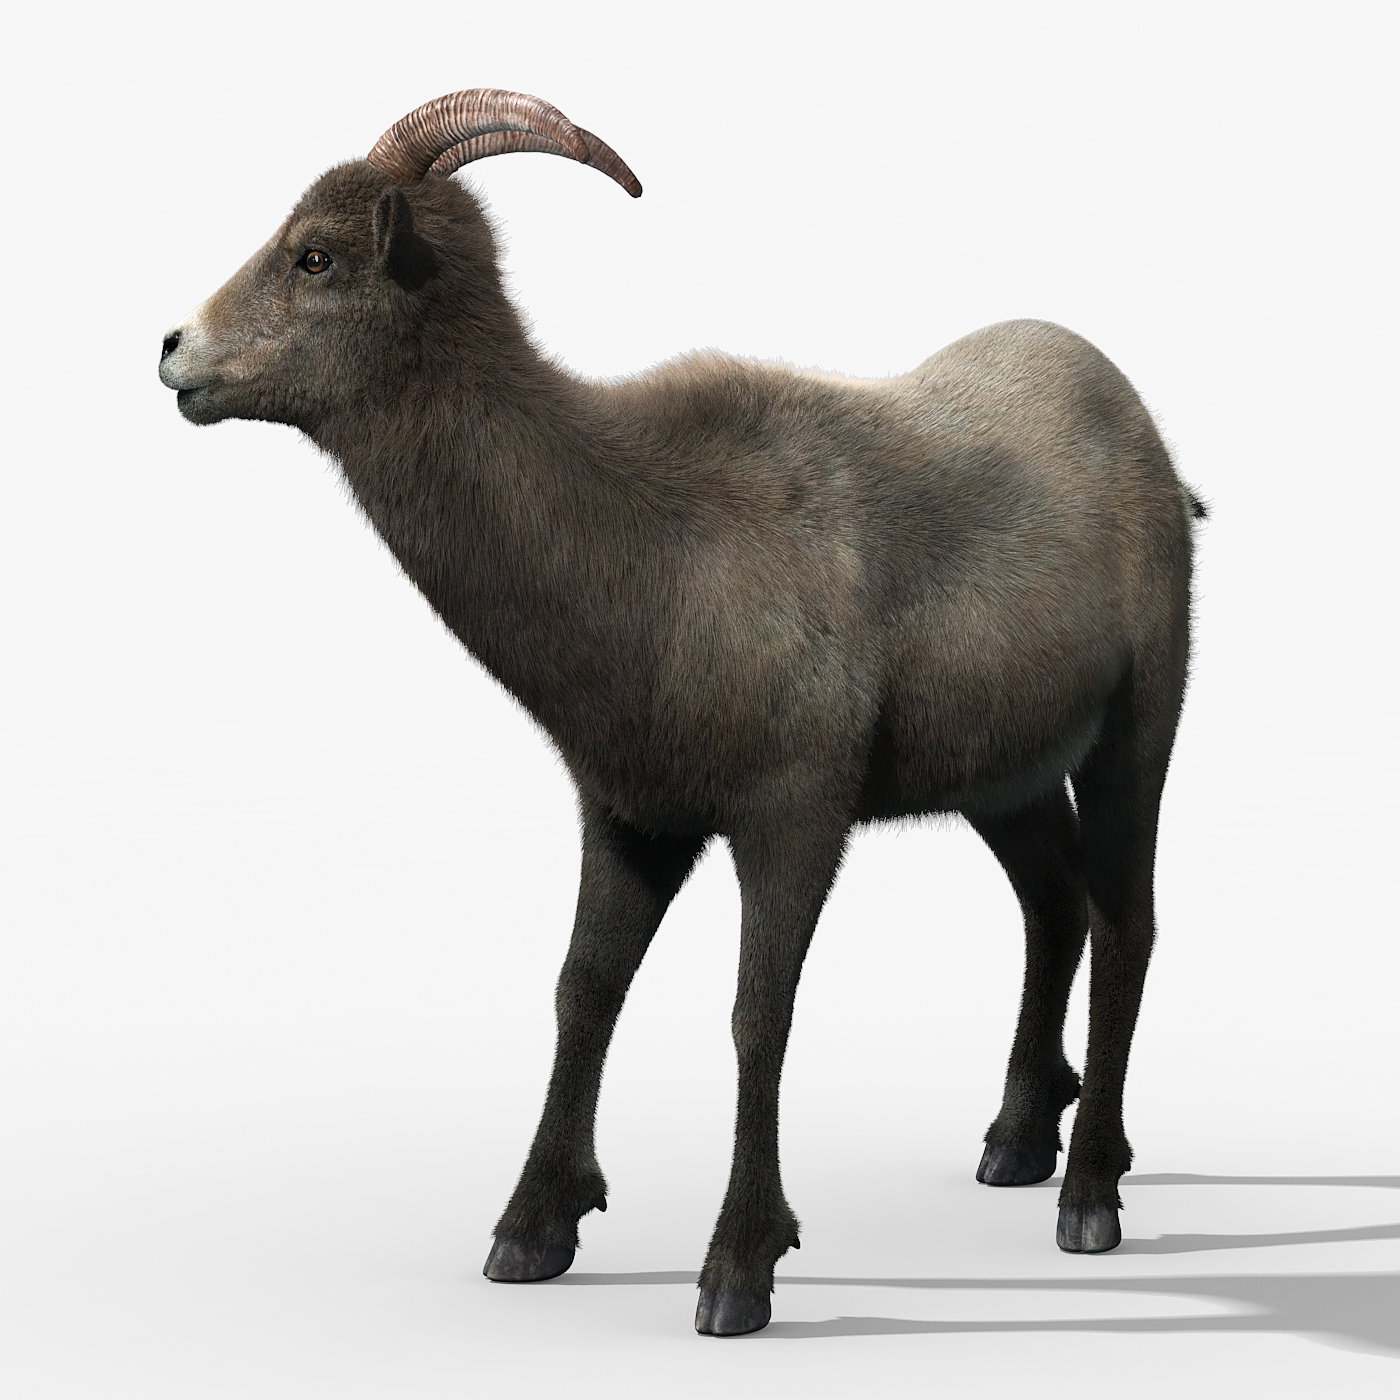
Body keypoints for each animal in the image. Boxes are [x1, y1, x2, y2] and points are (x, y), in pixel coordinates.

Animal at [158, 88, 1202, 1337]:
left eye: (315, 253)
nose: (173, 351)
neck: (646, 537)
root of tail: (1145, 439)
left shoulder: (792, 814)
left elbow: (758, 1015)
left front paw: (737, 1269)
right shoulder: (629, 814)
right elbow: (582, 989)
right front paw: (531, 1228)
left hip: (1136, 726)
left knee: (1123, 918)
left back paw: (1087, 1193)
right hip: (1004, 773)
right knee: (1051, 902)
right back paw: (1012, 1140)